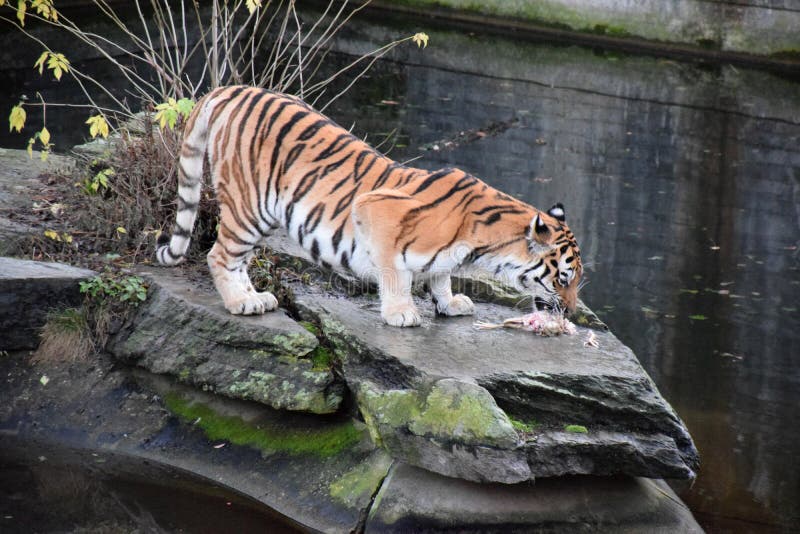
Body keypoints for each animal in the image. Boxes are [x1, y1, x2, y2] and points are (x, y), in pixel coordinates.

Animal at [156, 86, 582, 327]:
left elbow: (440, 274)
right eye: (563, 279)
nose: (572, 312)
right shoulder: (377, 211)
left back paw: (257, 297)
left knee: (237, 258)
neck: (483, 243)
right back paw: (241, 302)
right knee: (219, 255)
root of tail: (231, 89)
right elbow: (396, 273)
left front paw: (449, 303)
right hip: (248, 206)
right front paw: (401, 313)